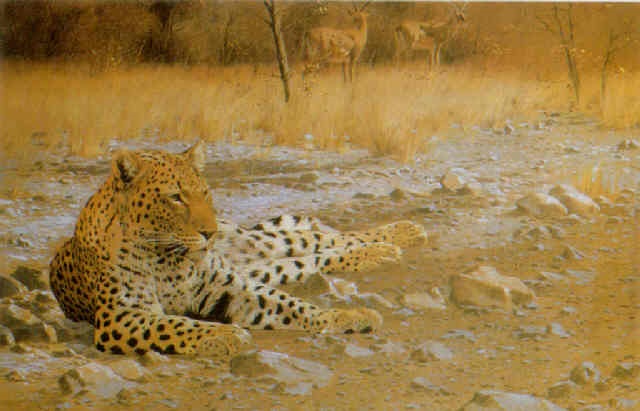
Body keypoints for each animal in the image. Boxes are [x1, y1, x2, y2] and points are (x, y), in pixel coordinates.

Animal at [49, 141, 427, 359]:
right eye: (175, 197)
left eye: (204, 192)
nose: (210, 232)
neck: (169, 259)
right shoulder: (121, 317)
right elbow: (176, 324)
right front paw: (227, 335)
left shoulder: (229, 286)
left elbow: (291, 304)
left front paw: (344, 317)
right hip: (259, 263)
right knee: (308, 256)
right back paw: (387, 248)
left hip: (255, 246)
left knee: (314, 239)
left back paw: (397, 236)